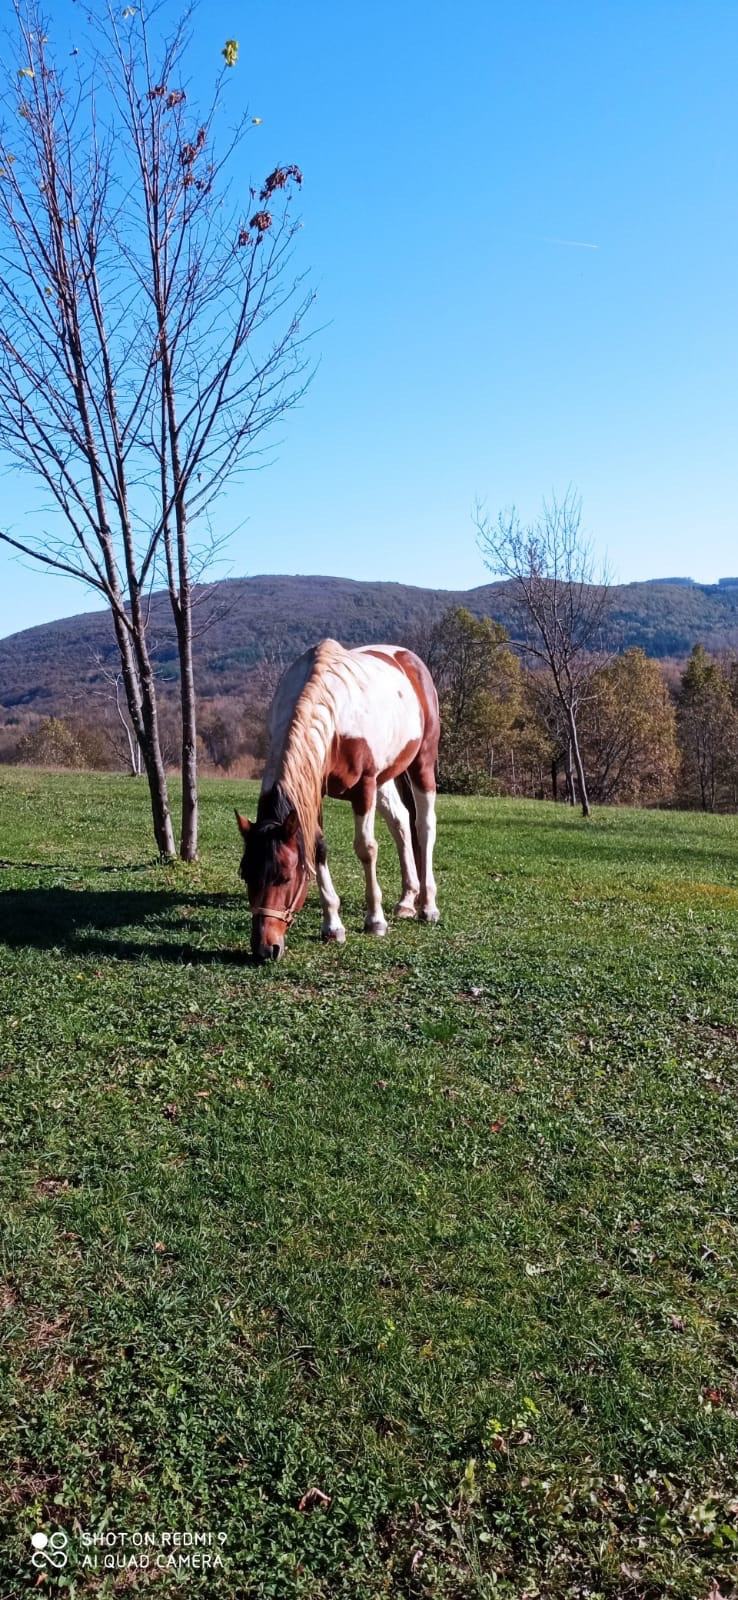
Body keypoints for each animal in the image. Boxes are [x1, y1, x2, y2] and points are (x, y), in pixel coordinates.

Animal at [236, 638, 440, 963]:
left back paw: (428, 906)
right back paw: (407, 901)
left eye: (284, 877)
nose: (265, 948)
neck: (334, 717)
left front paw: (375, 921)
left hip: (422, 763)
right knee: (400, 824)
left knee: (424, 825)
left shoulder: (365, 786)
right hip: (386, 777)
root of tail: (408, 657)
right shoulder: (312, 791)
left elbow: (367, 849)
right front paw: (332, 926)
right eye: (245, 874)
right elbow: (318, 848)